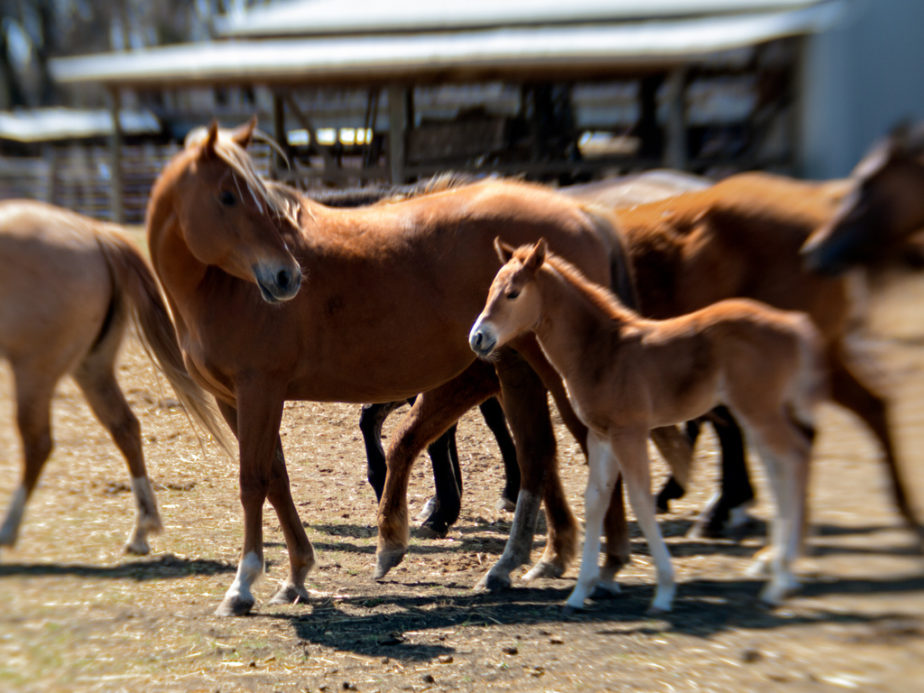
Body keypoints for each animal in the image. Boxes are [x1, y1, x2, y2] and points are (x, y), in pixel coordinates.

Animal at [0, 199, 226, 556]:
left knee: (38, 442)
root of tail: (96, 234)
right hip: (91, 367)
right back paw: (142, 530)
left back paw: (8, 530)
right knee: (125, 426)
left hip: (37, 370)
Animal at [145, 119, 690, 616]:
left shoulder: (260, 389)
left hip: (553, 374)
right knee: (538, 454)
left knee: (584, 449)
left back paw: (600, 567)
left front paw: (243, 584)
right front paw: (297, 575)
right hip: (518, 370)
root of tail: (584, 212)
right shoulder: (237, 398)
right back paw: (528, 564)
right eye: (227, 197)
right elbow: (276, 477)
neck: (221, 286)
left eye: (258, 199)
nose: (287, 277)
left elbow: (253, 479)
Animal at [470, 238, 825, 612]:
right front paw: (581, 591)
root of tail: (793, 323)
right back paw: (781, 568)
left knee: (796, 455)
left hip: (759, 410)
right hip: (755, 412)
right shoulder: (601, 436)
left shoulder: (630, 432)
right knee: (780, 469)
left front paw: (665, 590)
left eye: (513, 293)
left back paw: (781, 578)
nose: (478, 337)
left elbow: (640, 500)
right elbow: (595, 500)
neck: (603, 350)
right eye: (490, 290)